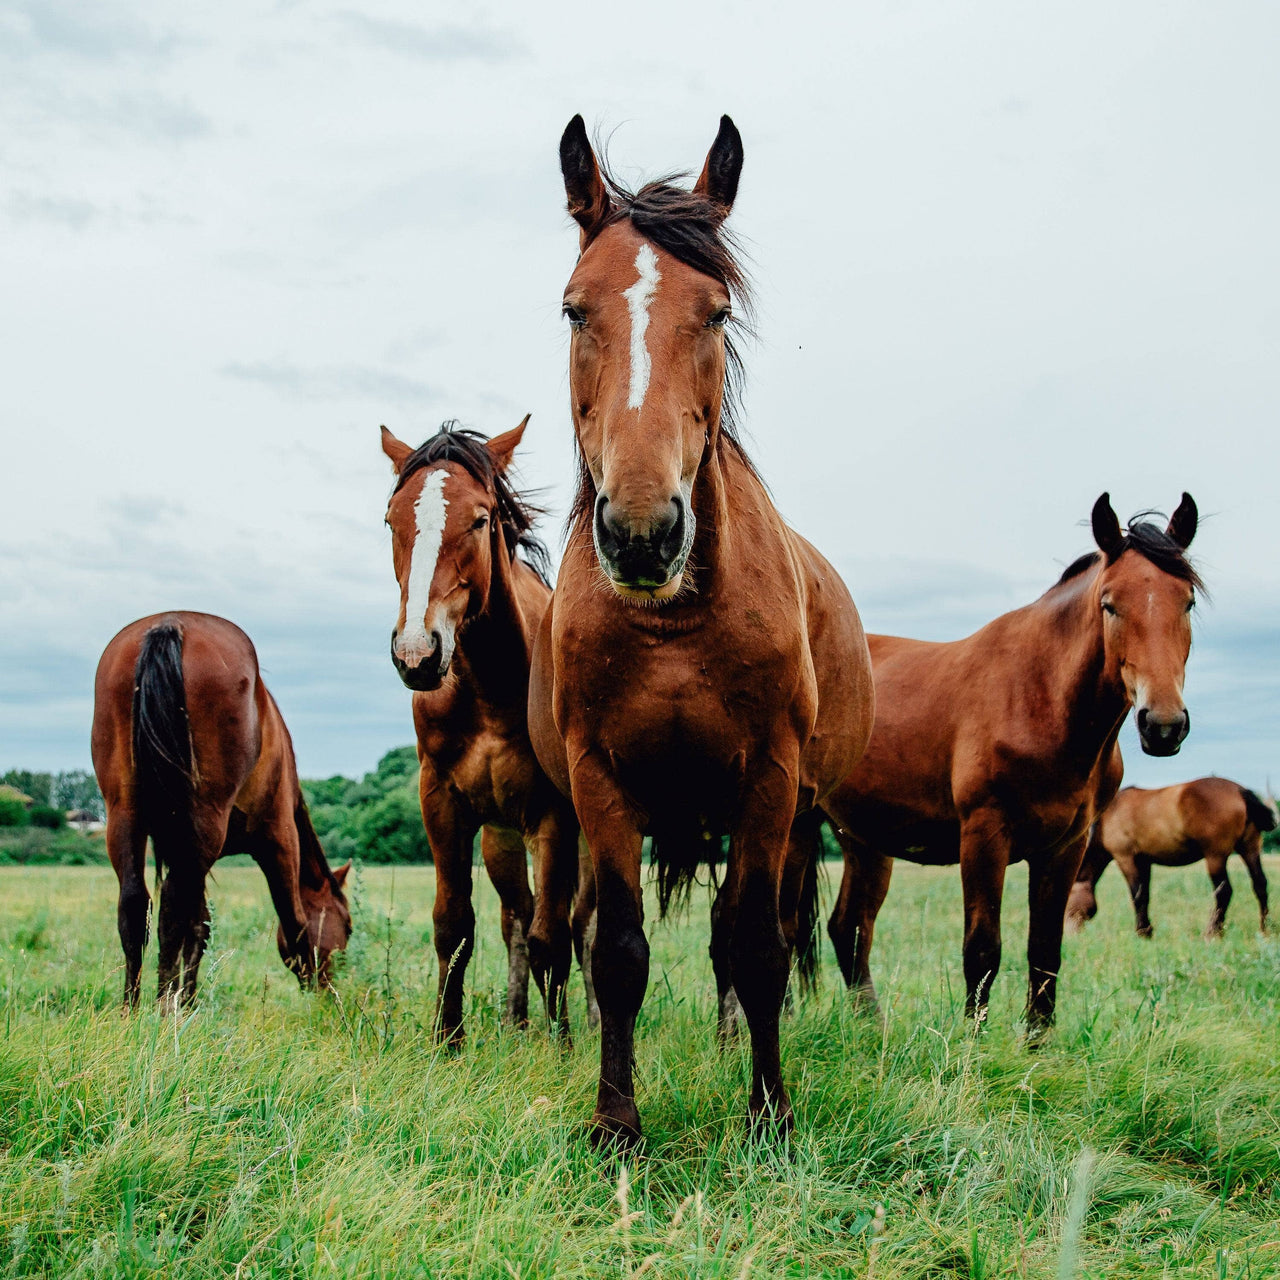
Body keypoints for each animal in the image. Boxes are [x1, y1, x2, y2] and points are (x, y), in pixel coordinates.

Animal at [91, 612, 352, 1008]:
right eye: (348, 926)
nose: (330, 989)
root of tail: (170, 625)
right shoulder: (280, 838)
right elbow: (294, 922)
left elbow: (199, 924)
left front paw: (188, 1000)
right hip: (205, 823)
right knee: (170, 908)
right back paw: (162, 1007)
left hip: (126, 815)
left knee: (135, 906)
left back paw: (131, 1009)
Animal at [380, 419, 590, 1043]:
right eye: (392, 521)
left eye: (479, 518)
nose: (417, 654)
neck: (491, 690)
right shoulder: (442, 802)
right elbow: (456, 925)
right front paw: (446, 1039)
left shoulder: (554, 817)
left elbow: (554, 938)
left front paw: (563, 1045)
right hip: (501, 838)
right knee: (514, 916)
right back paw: (517, 1021)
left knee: (581, 925)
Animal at [528, 115, 875, 1144]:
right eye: (575, 311)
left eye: (716, 313)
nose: (643, 531)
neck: (673, 624)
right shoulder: (600, 786)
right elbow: (616, 952)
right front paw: (616, 1123)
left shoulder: (770, 784)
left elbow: (756, 945)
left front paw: (770, 1114)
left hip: (794, 820)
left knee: (750, 933)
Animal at [818, 494, 1201, 1038]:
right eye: (1109, 604)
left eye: (1186, 602)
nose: (1163, 725)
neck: (1040, 698)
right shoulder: (985, 835)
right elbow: (982, 950)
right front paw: (971, 1045)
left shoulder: (1067, 846)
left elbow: (1044, 952)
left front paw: (1037, 1046)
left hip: (862, 840)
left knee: (849, 927)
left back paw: (872, 1029)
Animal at [1065, 777, 1275, 937]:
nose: (1071, 935)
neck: (1108, 816)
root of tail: (1240, 791)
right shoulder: (1144, 861)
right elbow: (1145, 895)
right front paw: (1147, 930)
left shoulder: (1125, 858)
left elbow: (1137, 895)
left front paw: (1142, 932)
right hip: (1250, 849)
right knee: (1260, 884)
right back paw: (1265, 929)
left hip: (1216, 856)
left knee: (1224, 891)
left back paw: (1212, 932)